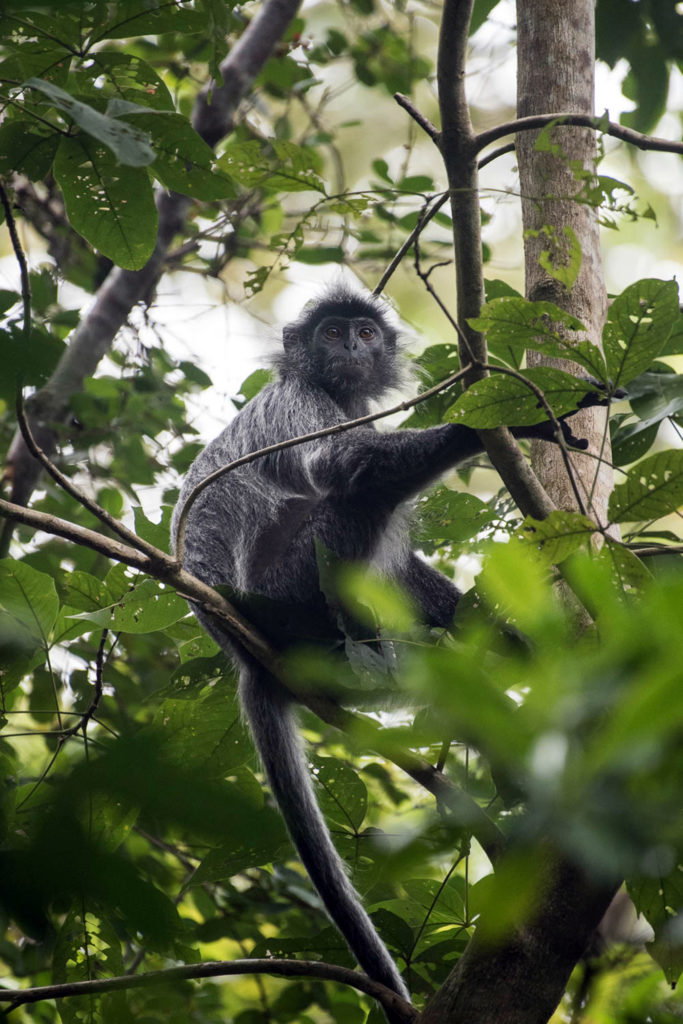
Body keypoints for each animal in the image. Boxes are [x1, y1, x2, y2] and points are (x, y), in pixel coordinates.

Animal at [172, 285, 607, 1016]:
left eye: (366, 334)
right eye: (332, 333)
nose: (351, 344)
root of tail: (240, 648)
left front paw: (513, 639)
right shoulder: (301, 406)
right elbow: (343, 466)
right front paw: (509, 426)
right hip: (288, 575)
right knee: (356, 494)